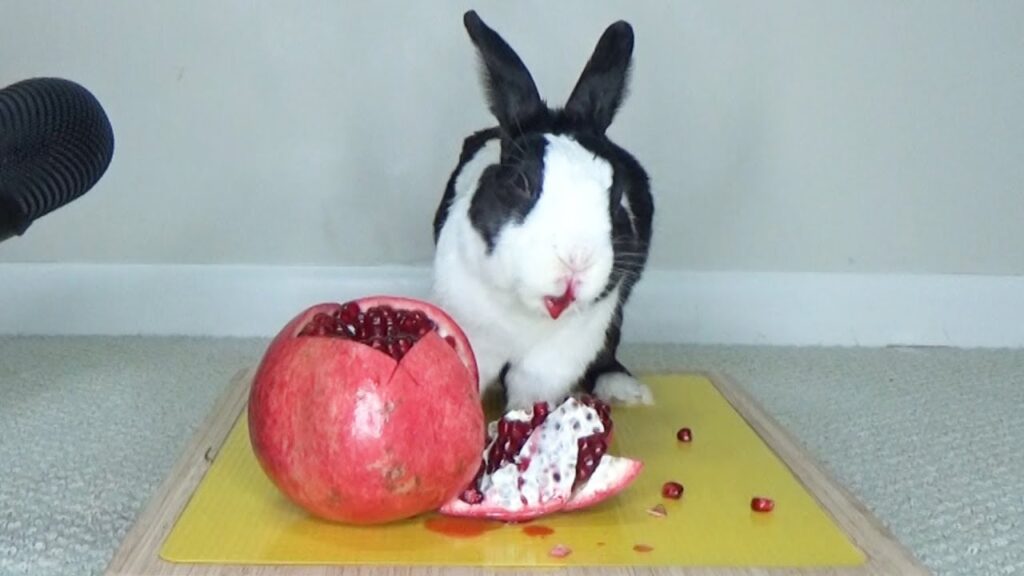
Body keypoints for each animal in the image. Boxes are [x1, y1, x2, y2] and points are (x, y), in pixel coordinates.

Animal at [432, 10, 654, 411]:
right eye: (521, 182)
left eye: (616, 193)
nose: (576, 258)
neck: (526, 310)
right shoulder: (472, 329)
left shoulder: (562, 351)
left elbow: (530, 390)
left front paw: (523, 420)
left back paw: (623, 388)